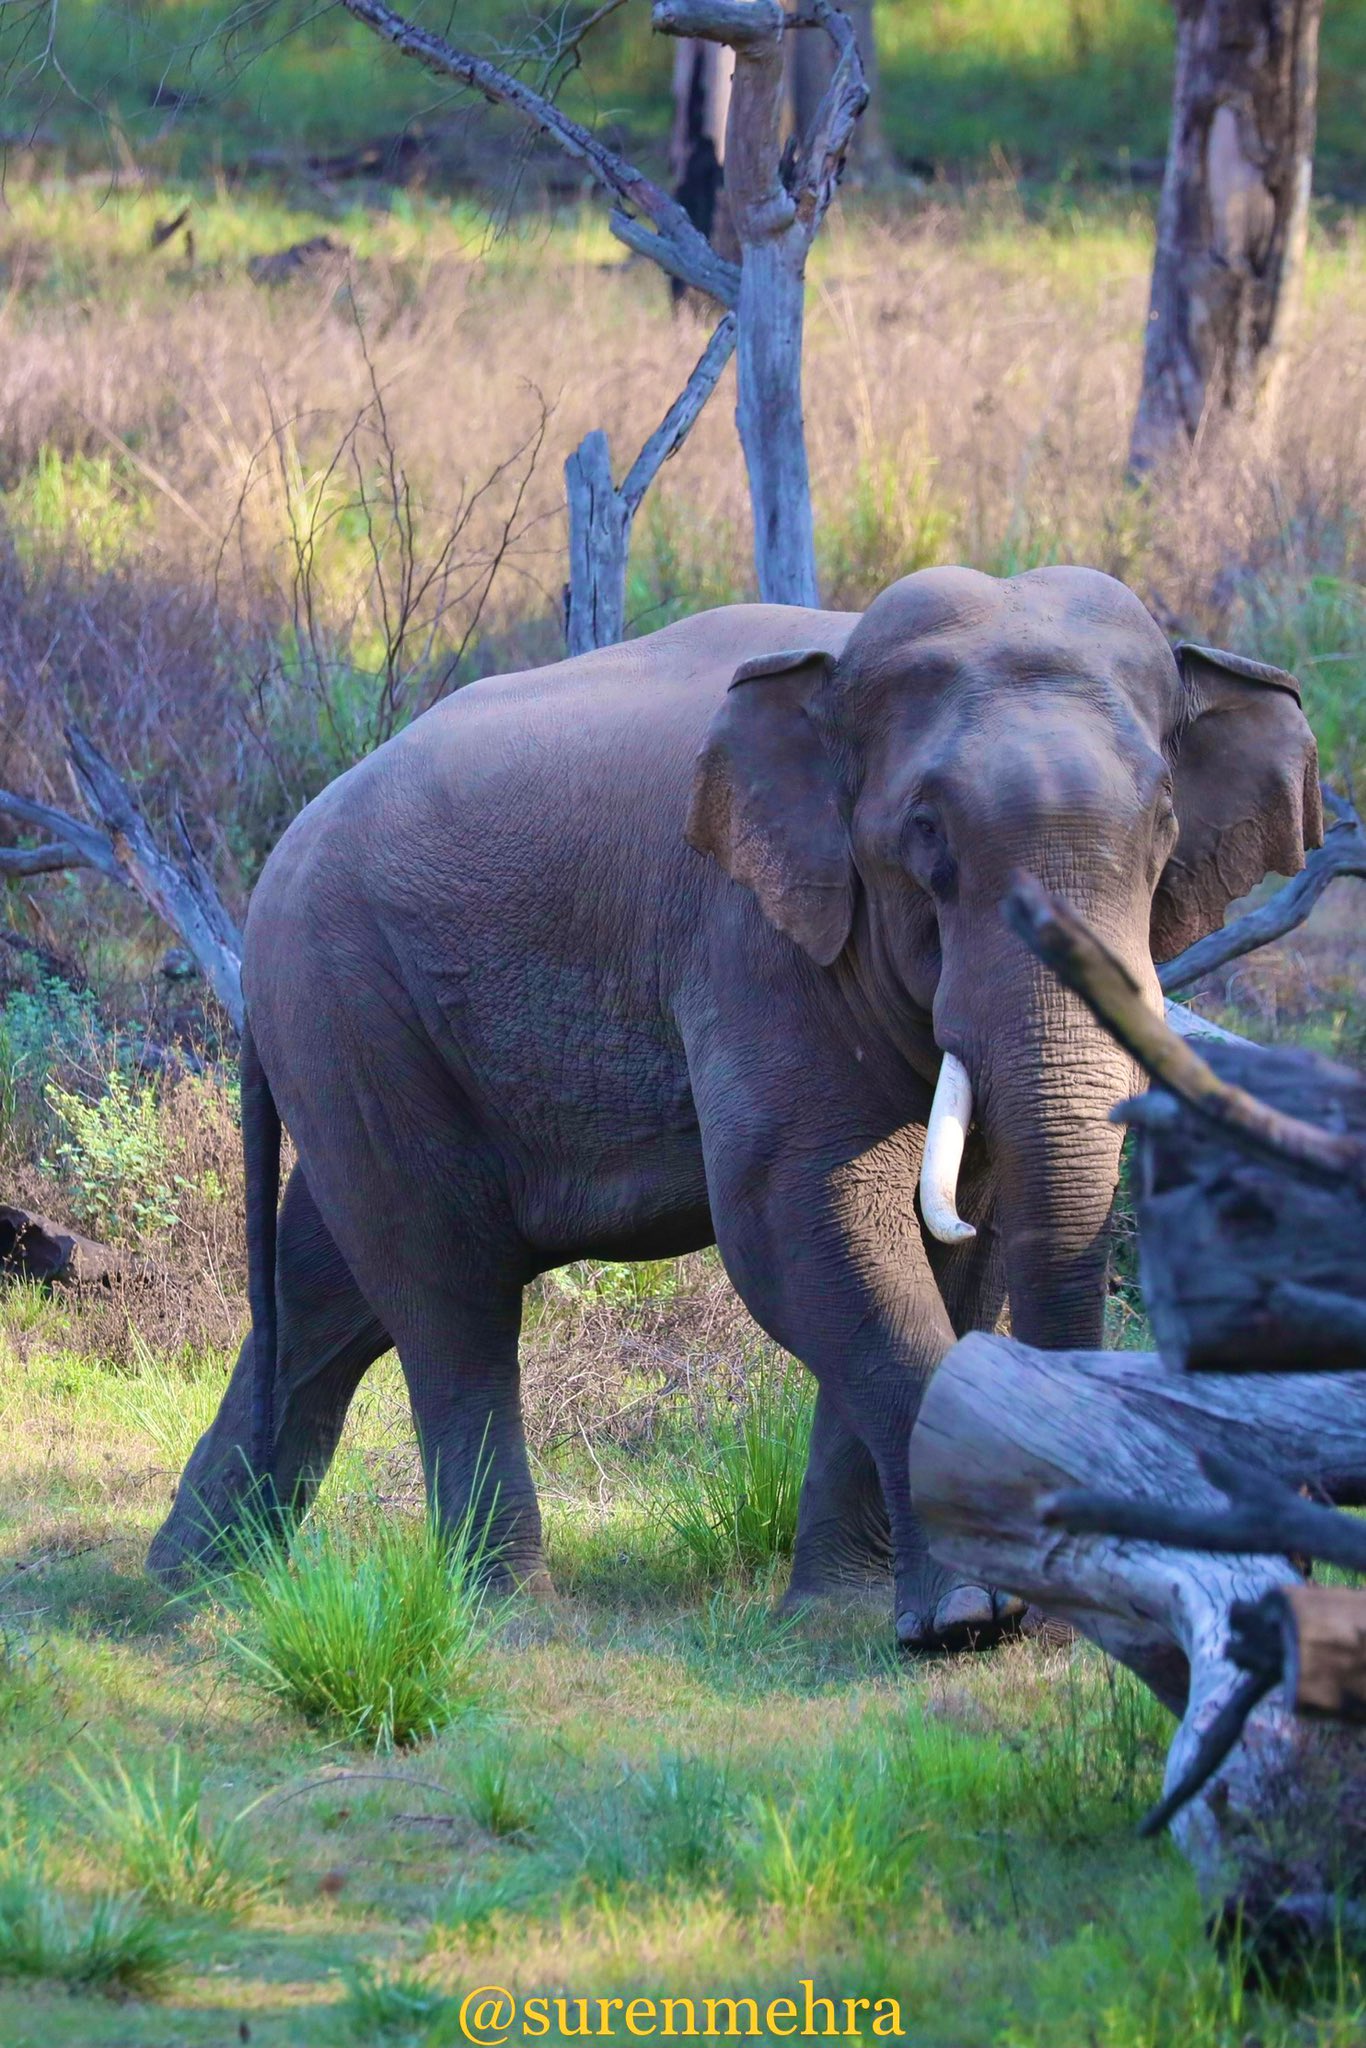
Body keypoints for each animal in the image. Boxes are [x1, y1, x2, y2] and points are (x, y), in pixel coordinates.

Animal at [148, 566, 1322, 1649]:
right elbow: (802, 1222)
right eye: (926, 834)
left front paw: (843, 1611)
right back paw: (502, 1610)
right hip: (346, 999)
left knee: (323, 1290)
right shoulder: (747, 939)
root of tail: (273, 867)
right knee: (445, 1286)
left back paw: (185, 1586)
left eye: (1162, 825)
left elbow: (956, 1241)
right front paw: (962, 1619)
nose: (1065, 1614)